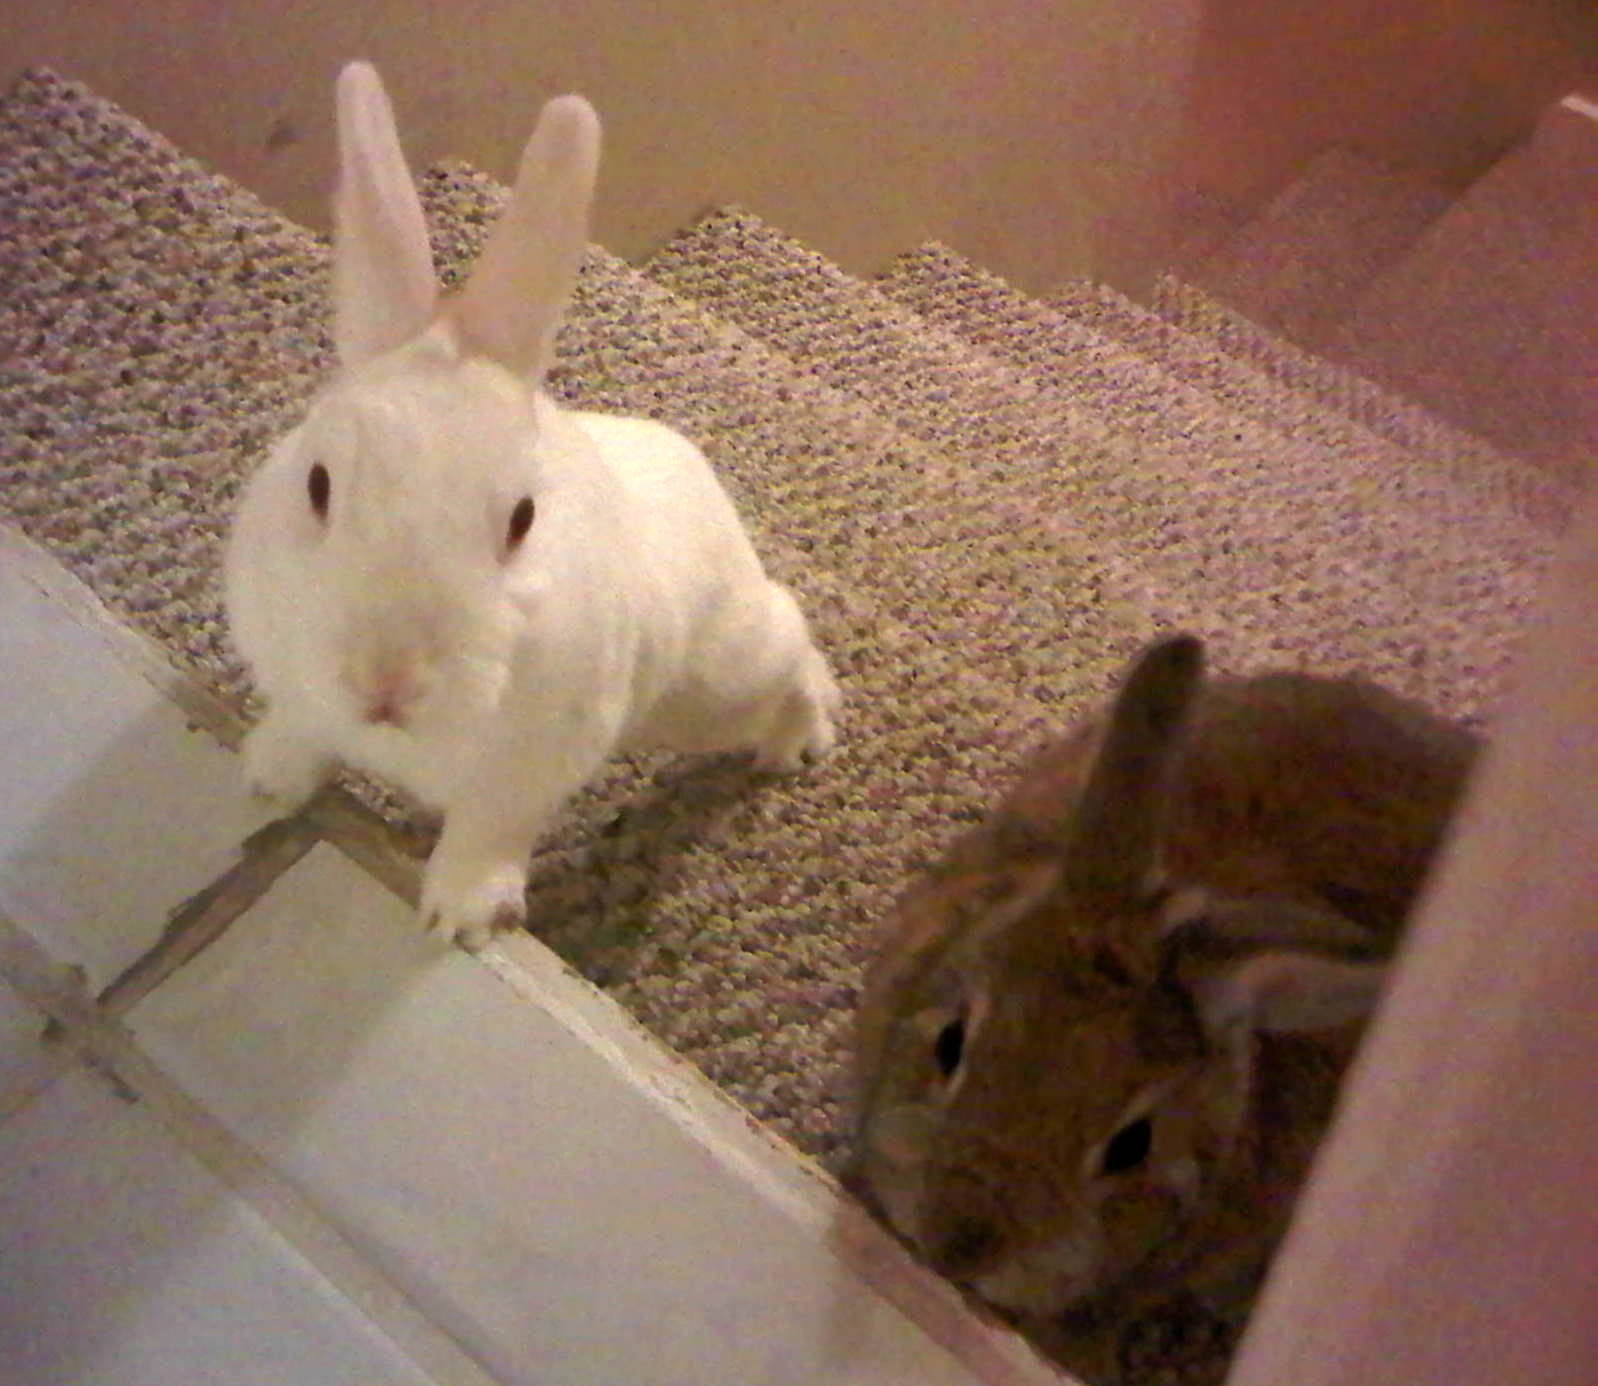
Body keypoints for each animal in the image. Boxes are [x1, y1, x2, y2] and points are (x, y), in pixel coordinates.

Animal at [223, 61, 839, 948]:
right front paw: (266, 778)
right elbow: (300, 737)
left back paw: (802, 741)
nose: (385, 679)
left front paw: (463, 921)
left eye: (521, 519)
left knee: (794, 654)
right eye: (317, 484)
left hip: (711, 685)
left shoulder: (528, 769)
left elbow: (488, 832)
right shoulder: (302, 696)